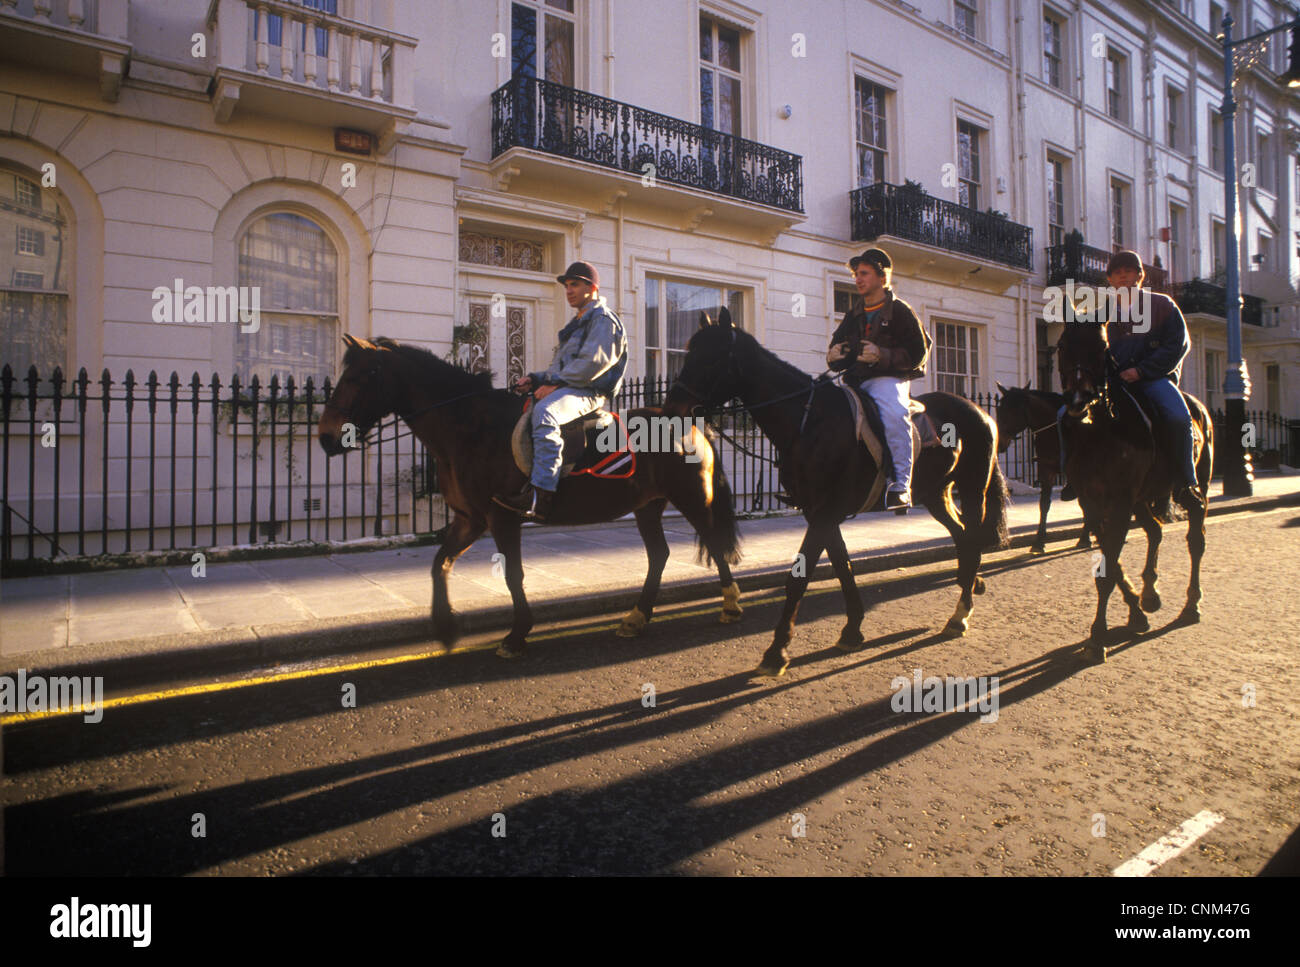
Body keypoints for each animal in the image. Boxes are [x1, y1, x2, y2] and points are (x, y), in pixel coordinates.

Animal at [318, 334, 744, 658]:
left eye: (358, 376)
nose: (325, 436)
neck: (471, 427)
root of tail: (692, 423)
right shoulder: (470, 519)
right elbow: (440, 564)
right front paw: (446, 627)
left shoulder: (501, 517)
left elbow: (513, 575)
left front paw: (517, 634)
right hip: (647, 506)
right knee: (659, 556)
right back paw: (637, 618)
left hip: (690, 498)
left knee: (713, 543)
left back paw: (729, 604)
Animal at [664, 310, 1009, 677]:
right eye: (689, 351)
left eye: (713, 357)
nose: (672, 407)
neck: (809, 422)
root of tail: (980, 413)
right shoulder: (820, 513)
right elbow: (843, 566)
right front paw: (852, 629)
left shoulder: (825, 512)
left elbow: (799, 578)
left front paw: (776, 651)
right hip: (936, 494)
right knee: (963, 538)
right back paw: (969, 587)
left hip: (972, 489)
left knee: (972, 540)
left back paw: (960, 614)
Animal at [994, 382, 1091, 554]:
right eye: (999, 410)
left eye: (1012, 411)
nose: (999, 443)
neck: (1056, 430)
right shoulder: (1046, 469)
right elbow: (1044, 504)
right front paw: (1039, 542)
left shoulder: (1078, 472)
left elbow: (1084, 502)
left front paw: (1085, 537)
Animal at [1056, 319, 1212, 663]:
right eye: (1062, 346)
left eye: (1102, 346)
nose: (1078, 400)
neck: (1099, 431)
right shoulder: (1092, 504)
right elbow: (1111, 564)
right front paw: (1137, 613)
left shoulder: (1120, 502)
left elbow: (1109, 570)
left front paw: (1097, 638)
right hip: (1141, 498)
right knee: (1155, 530)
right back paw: (1150, 596)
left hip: (1191, 486)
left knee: (1196, 534)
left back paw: (1192, 603)